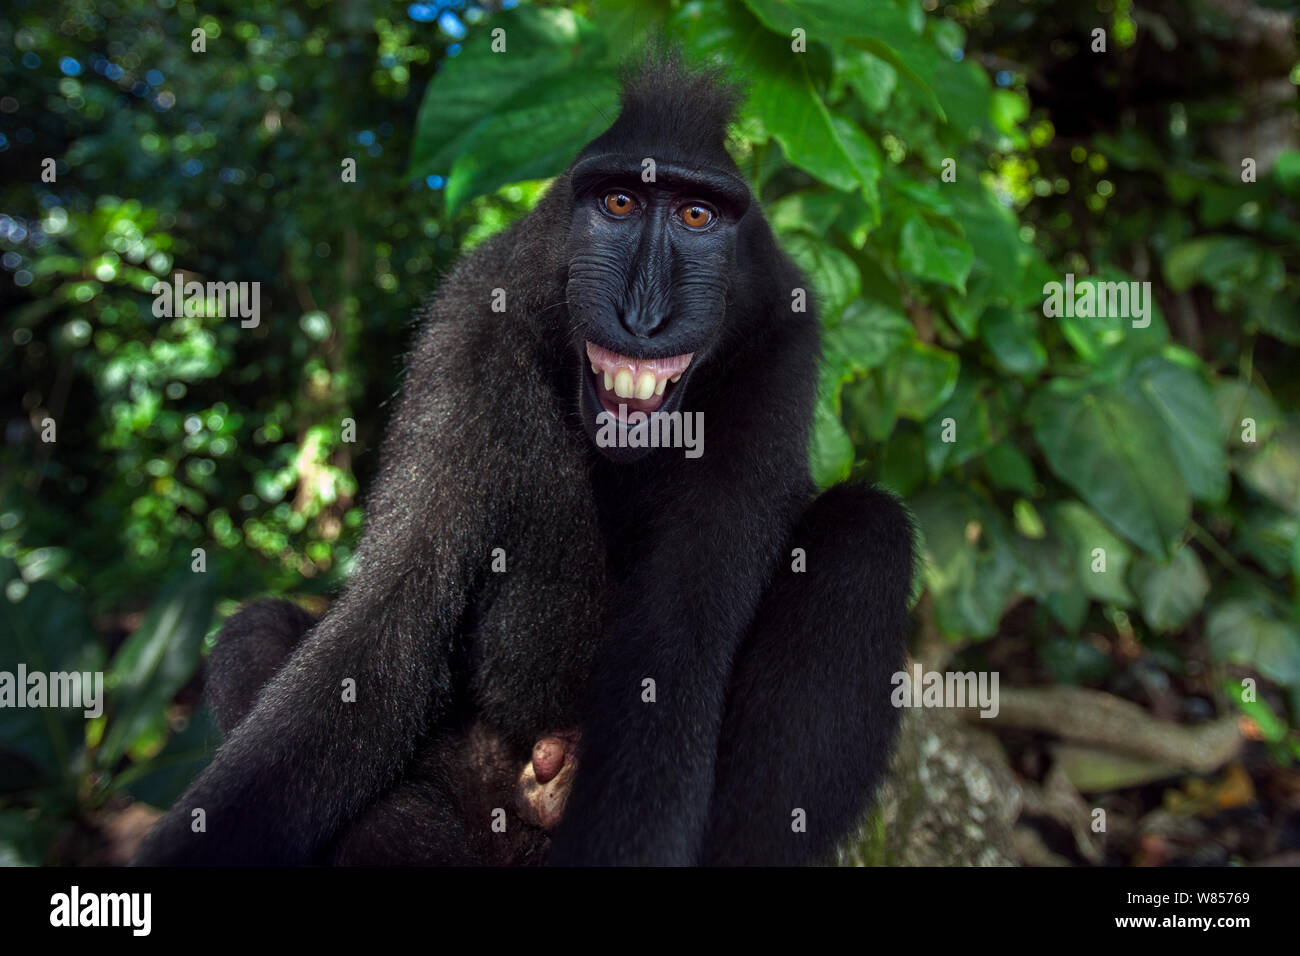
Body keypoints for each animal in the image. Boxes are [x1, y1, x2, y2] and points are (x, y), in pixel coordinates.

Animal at [134, 50, 914, 867]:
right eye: (618, 203)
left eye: (697, 215)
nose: (643, 316)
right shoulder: (468, 317)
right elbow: (386, 625)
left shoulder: (780, 351)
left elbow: (674, 653)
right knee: (255, 632)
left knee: (866, 535)